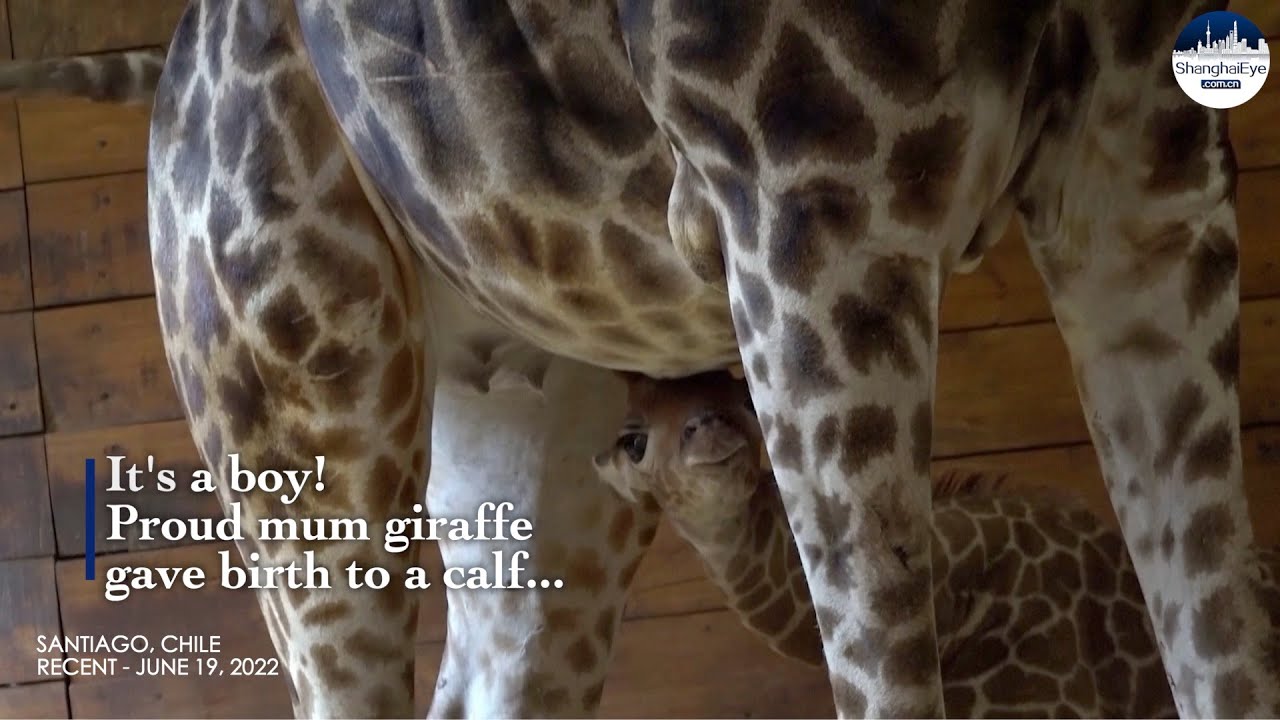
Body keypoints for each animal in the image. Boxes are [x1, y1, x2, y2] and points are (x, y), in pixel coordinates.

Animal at [21, 0, 1268, 716]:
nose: (702, 433)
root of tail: (168, 68)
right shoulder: (803, 213)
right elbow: (885, 677)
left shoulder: (1148, 177)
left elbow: (1223, 642)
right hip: (294, 395)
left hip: (524, 433)